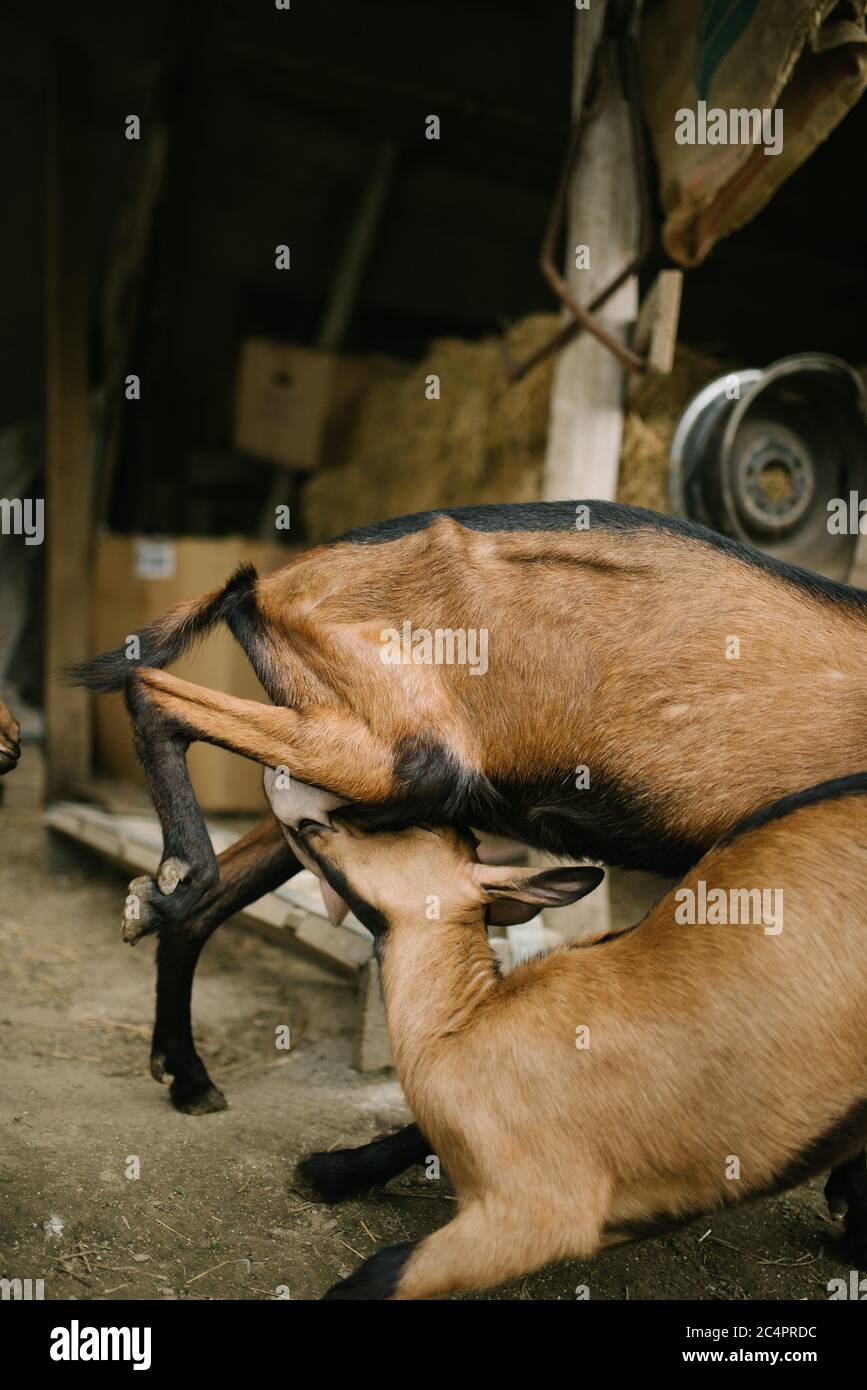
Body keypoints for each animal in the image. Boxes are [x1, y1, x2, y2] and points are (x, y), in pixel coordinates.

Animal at [68, 500, 867, 1222]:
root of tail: (270, 582)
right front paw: (337, 1172)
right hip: (402, 758)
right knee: (151, 694)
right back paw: (173, 886)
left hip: (340, 781)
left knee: (207, 903)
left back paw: (185, 1063)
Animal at [298, 774, 867, 1298]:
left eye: (418, 827)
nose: (313, 821)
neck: (462, 1022)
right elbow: (413, 1134)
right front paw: (329, 1171)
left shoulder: (543, 1213)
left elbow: (384, 1270)